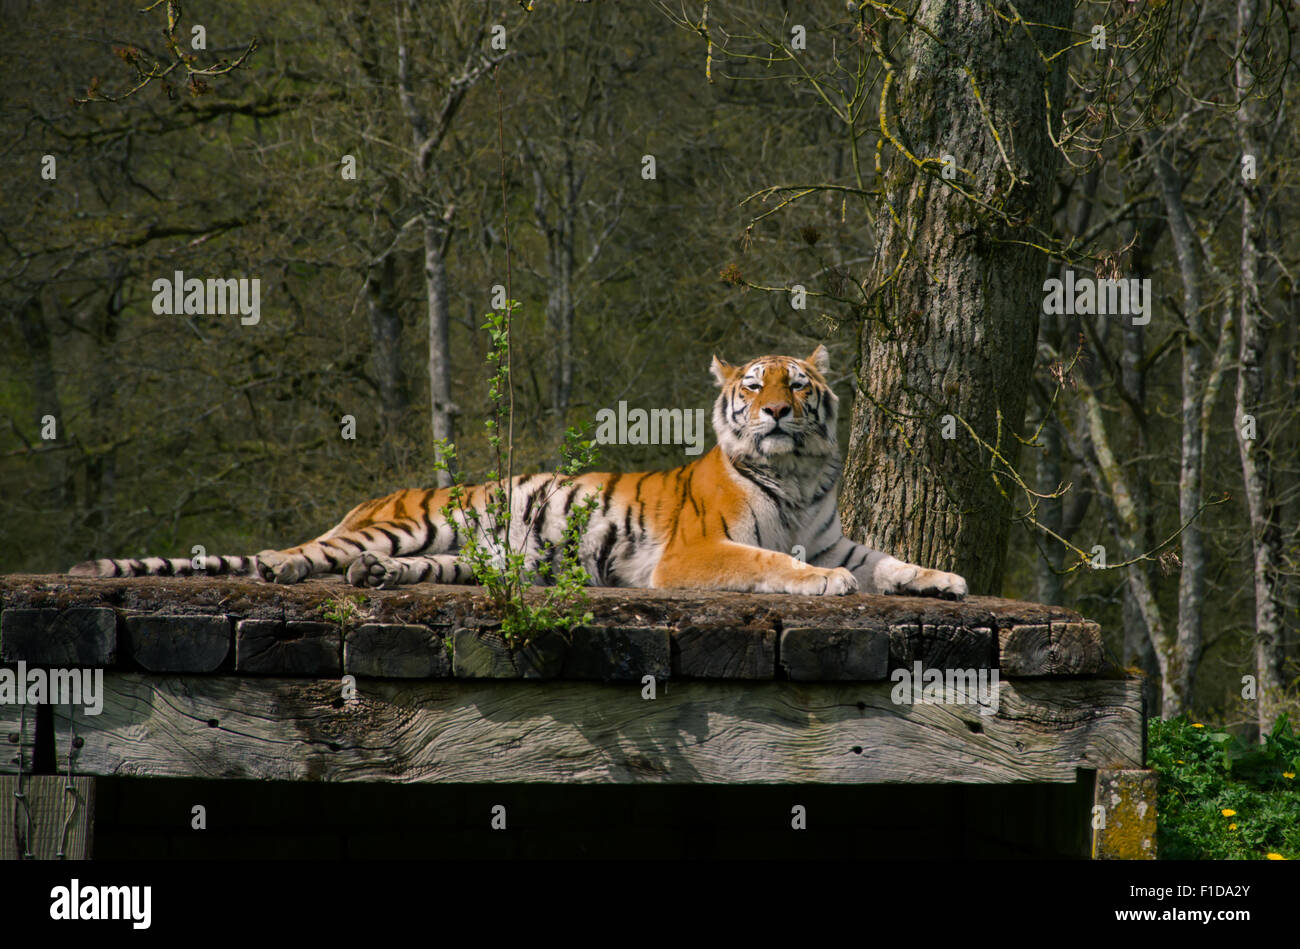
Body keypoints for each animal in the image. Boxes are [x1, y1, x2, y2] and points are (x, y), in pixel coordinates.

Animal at [70, 346, 968, 599]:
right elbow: (772, 561)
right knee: (286, 555)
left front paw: (942, 578)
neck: (800, 476)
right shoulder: (697, 552)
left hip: (468, 553)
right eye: (752, 386)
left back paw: (376, 579)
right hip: (414, 521)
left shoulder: (835, 534)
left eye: (800, 385)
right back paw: (293, 569)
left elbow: (887, 558)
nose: (777, 411)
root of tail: (367, 502)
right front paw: (825, 586)